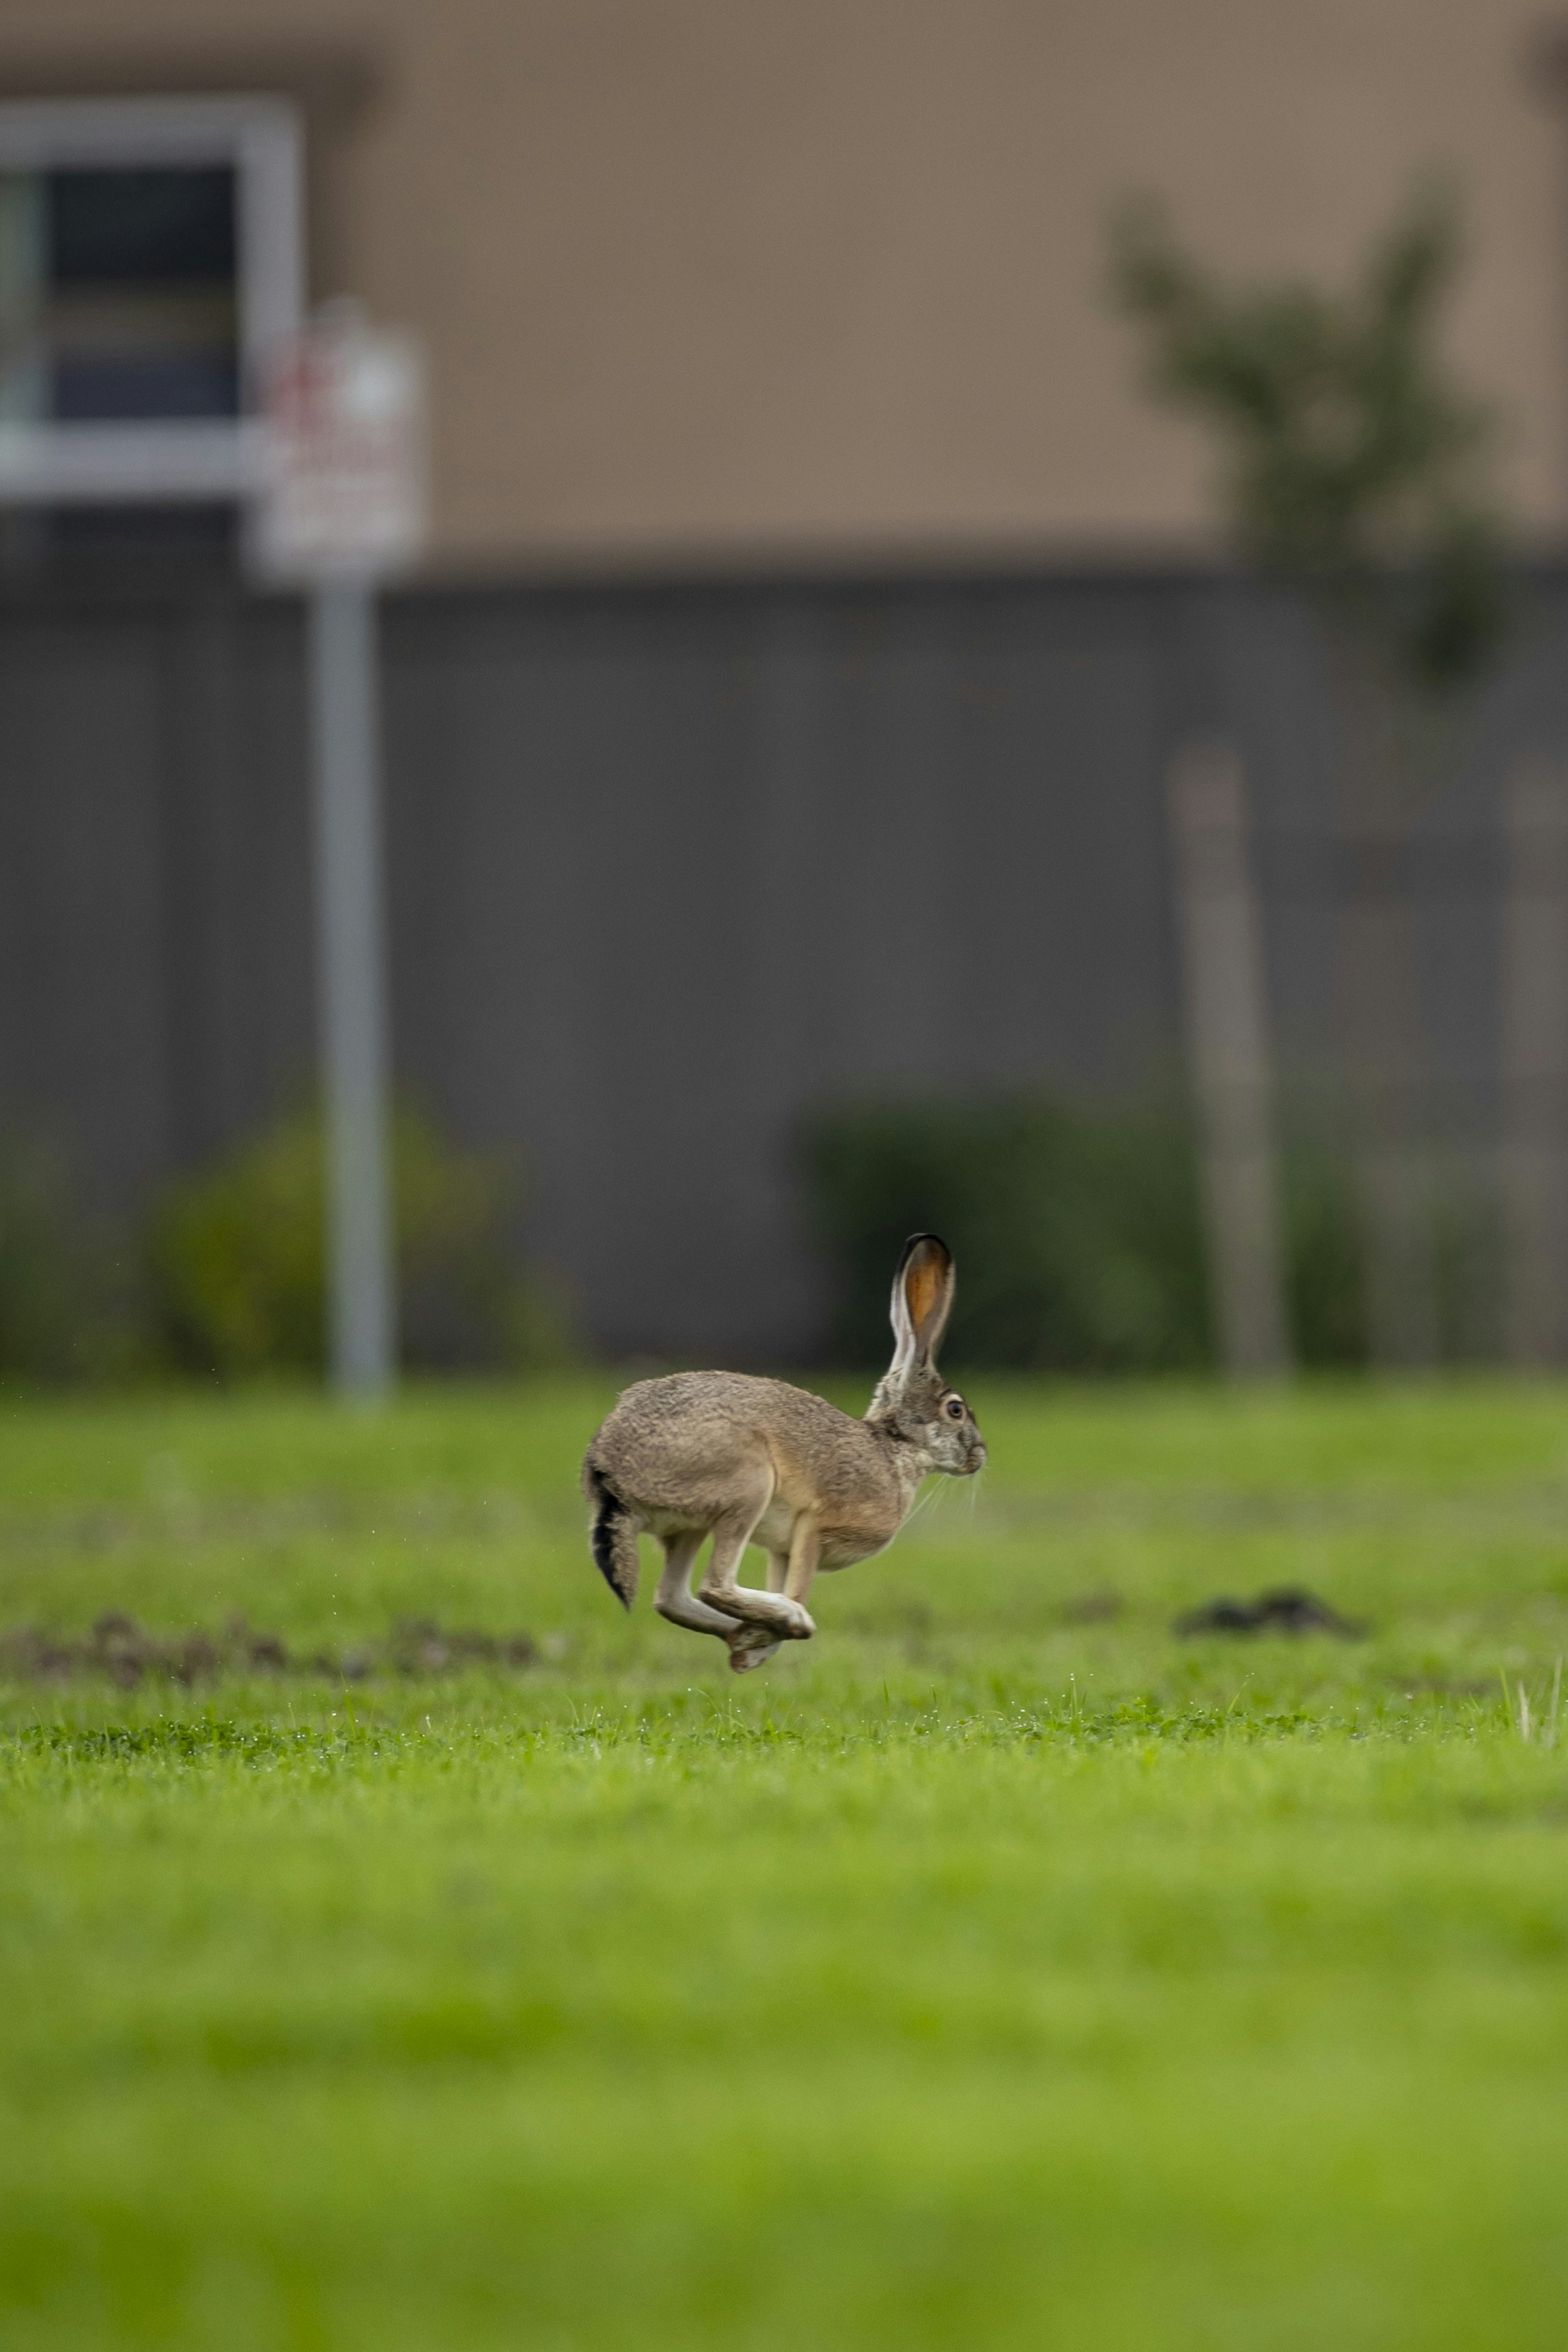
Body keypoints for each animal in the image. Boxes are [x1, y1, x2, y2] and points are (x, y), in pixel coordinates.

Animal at [581, 1233, 985, 1673]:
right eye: (955, 1410)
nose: (980, 1456)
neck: (894, 1447)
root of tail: (610, 1477)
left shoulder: (781, 1550)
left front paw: (753, 1645)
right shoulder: (815, 1527)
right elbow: (797, 1589)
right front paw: (775, 1630)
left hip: (691, 1525)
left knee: (671, 1599)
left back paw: (742, 1636)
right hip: (748, 1485)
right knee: (714, 1586)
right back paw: (785, 1620)